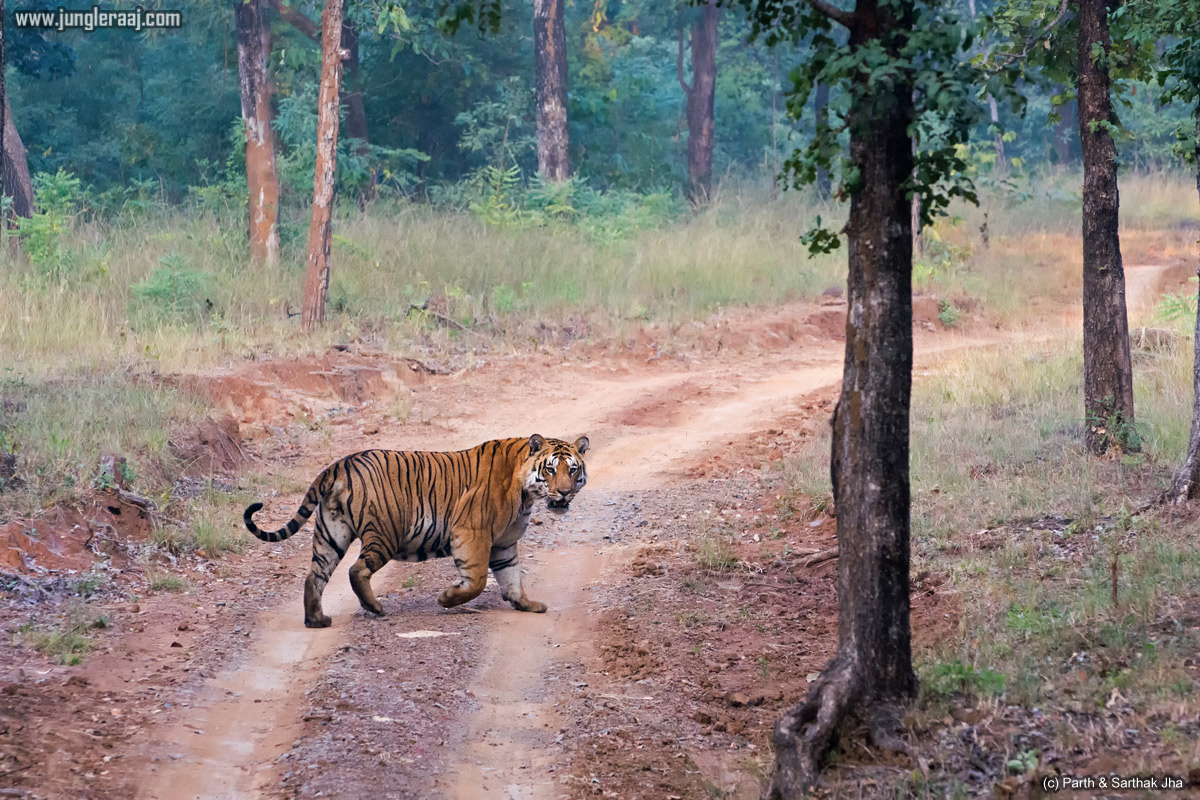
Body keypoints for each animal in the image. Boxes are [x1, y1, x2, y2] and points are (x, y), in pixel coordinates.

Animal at [243, 434, 589, 628]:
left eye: (573, 470)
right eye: (550, 469)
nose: (563, 493)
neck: (526, 493)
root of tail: (340, 464)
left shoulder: (504, 544)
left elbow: (512, 577)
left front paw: (526, 605)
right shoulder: (473, 532)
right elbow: (477, 580)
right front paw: (447, 599)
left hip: (331, 534)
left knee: (315, 576)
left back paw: (316, 620)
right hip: (384, 532)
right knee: (356, 570)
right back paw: (375, 608)